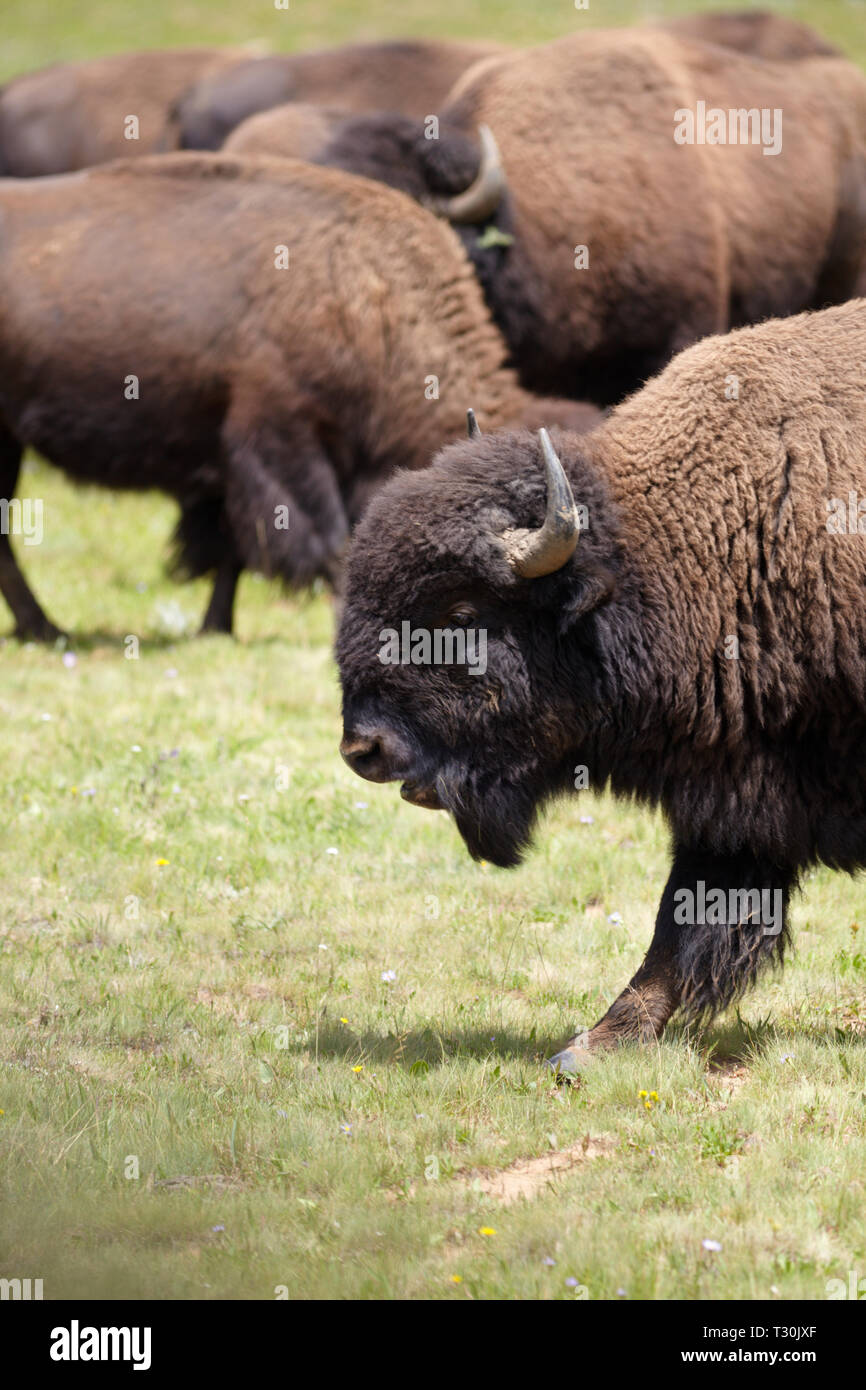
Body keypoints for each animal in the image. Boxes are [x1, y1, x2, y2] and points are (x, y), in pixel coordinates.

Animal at [0, 153, 598, 641]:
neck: (371, 298)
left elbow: (237, 548)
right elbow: (326, 540)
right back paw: (45, 628)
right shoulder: (282, 438)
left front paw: (216, 627)